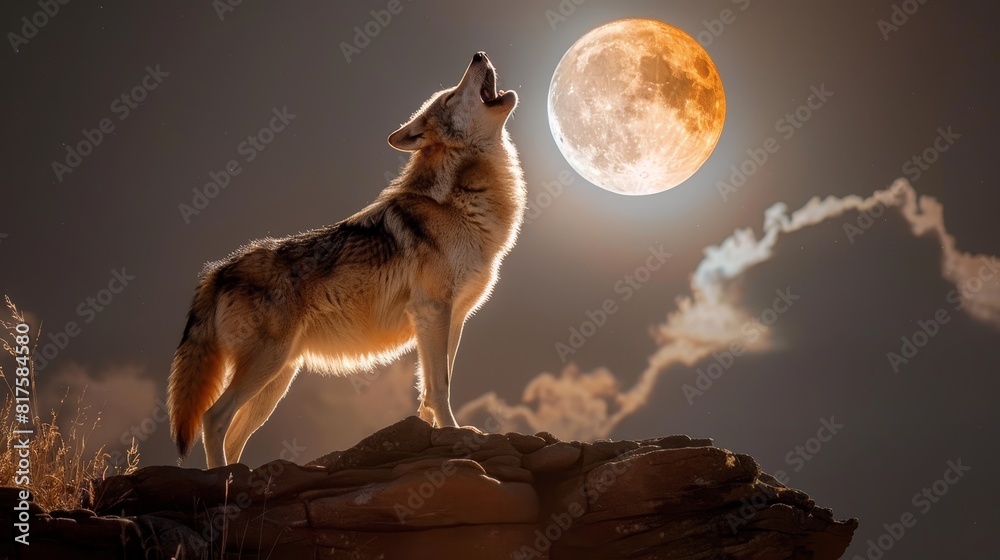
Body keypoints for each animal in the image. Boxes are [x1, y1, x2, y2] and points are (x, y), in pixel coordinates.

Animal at [168, 52, 524, 468]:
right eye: (451, 96)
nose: (478, 55)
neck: (459, 200)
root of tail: (217, 270)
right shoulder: (432, 310)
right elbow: (441, 386)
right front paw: (454, 432)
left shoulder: (453, 317)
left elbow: (432, 386)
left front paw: (434, 428)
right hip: (266, 368)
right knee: (213, 419)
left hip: (276, 379)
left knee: (234, 434)